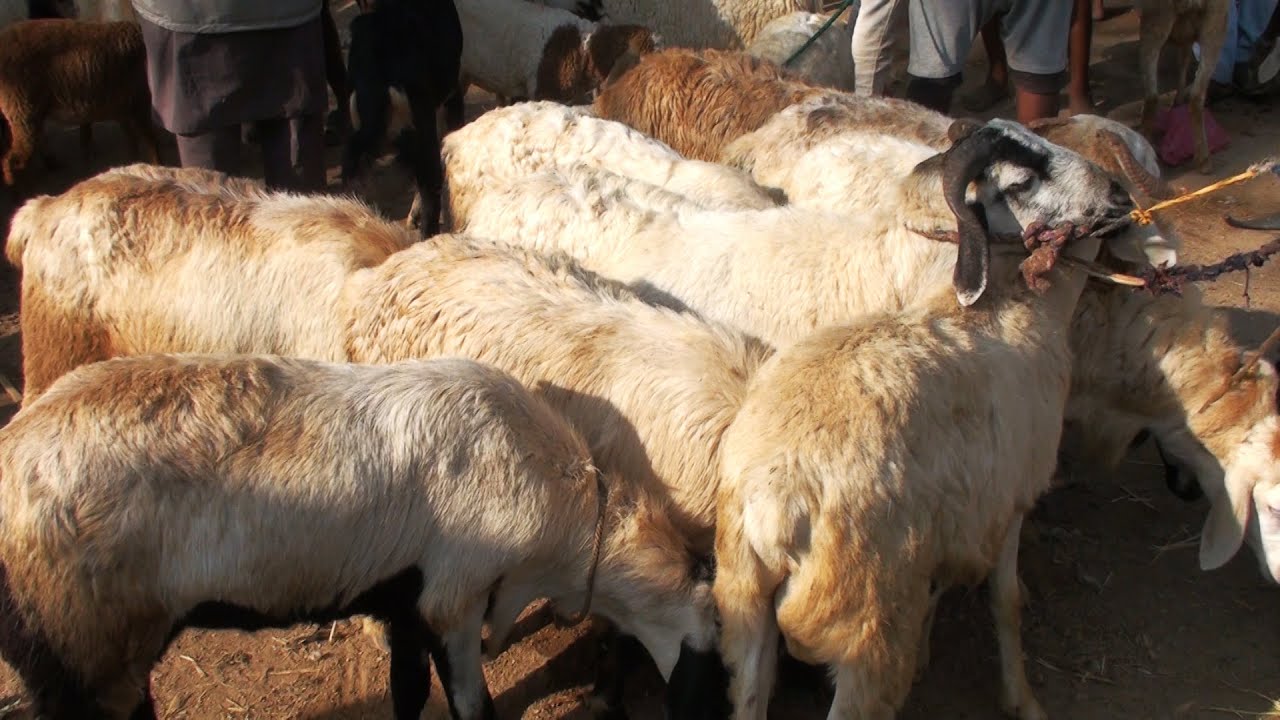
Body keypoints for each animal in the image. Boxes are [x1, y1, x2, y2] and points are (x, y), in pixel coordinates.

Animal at [0, 18, 157, 192]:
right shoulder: (139, 102)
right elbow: (151, 142)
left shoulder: (123, 109)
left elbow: (133, 142)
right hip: (21, 108)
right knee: (11, 160)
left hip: (28, 112)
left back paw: (53, 164)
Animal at [0, 352, 719, 720]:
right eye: (715, 664)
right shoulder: (453, 597)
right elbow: (471, 707)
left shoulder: (404, 599)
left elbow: (407, 694)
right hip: (82, 648)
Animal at [712, 120, 1141, 720]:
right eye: (1023, 181)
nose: (1119, 195)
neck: (1010, 306)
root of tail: (777, 497)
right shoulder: (1010, 502)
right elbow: (1006, 603)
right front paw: (1022, 699)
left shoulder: (952, 524)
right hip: (867, 627)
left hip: (744, 607)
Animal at [1136, 0, 1232, 174]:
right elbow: (1184, 59)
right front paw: (1178, 101)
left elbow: (1183, 59)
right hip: (1215, 21)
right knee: (1197, 96)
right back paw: (1203, 160)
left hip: (1155, 16)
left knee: (1152, 96)